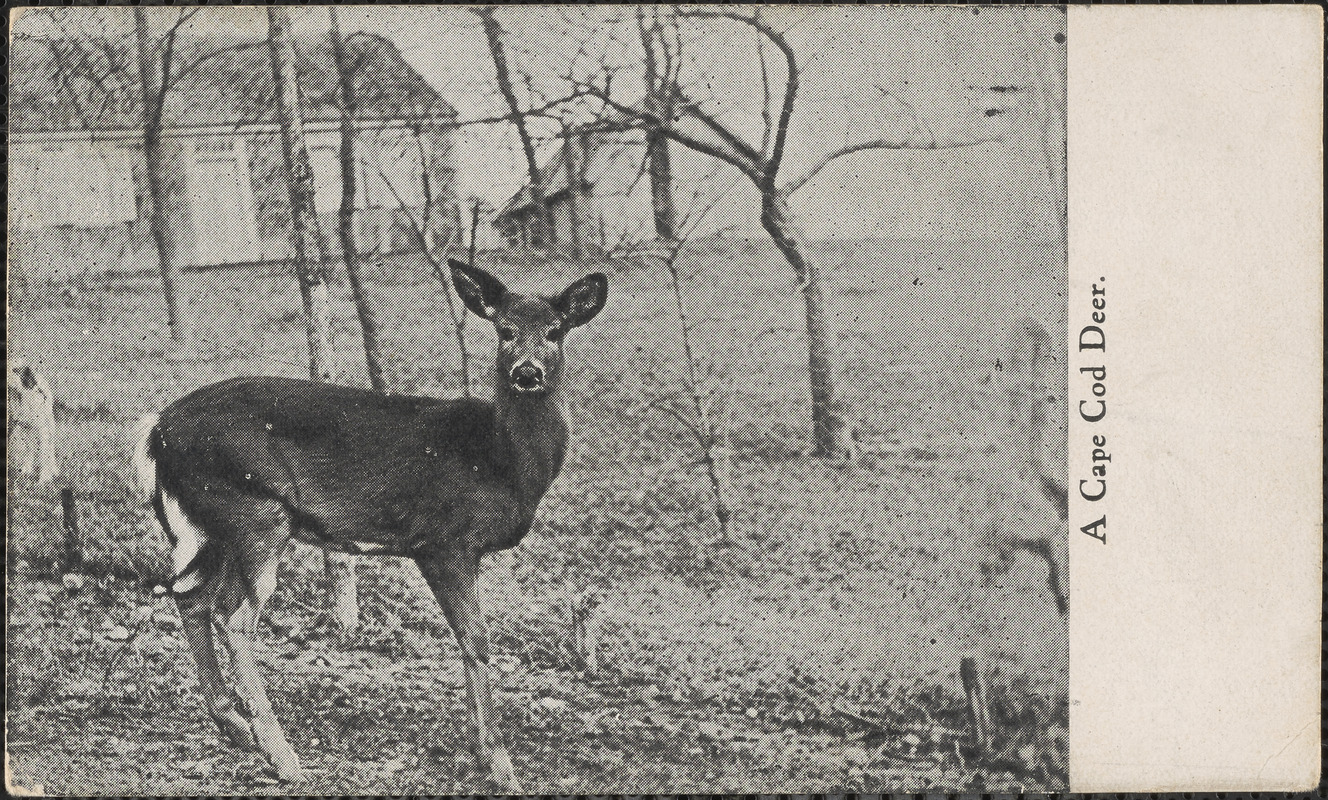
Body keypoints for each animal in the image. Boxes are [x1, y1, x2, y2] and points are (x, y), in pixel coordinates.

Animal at [132, 260, 607, 790]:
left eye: (555, 331)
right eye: (504, 330)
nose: (527, 372)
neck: (501, 462)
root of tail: (156, 431)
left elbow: (468, 640)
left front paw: (478, 755)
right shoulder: (444, 540)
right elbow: (477, 640)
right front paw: (500, 766)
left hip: (210, 525)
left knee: (191, 599)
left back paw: (236, 726)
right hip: (254, 512)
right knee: (233, 616)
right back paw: (282, 756)